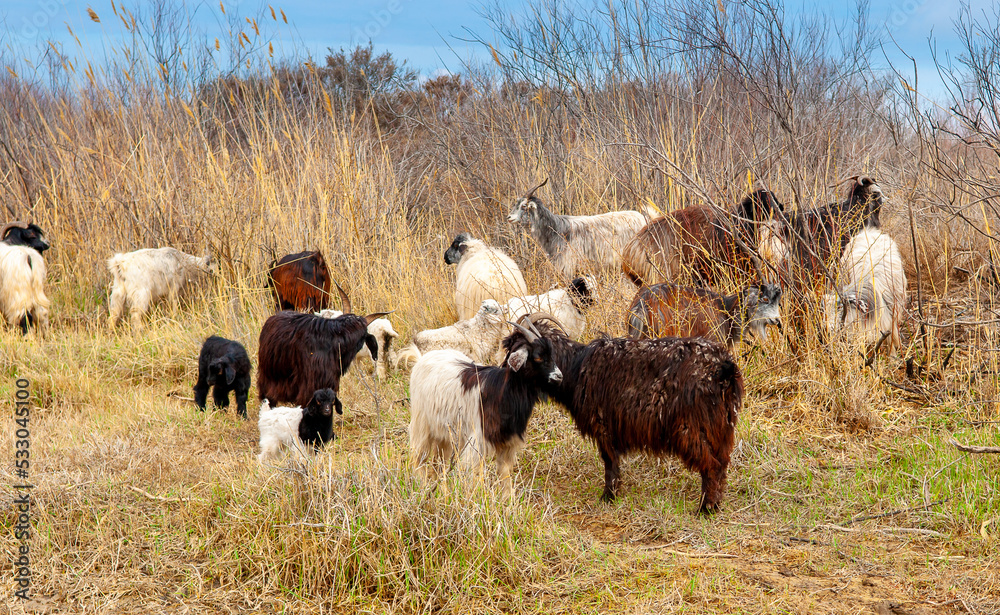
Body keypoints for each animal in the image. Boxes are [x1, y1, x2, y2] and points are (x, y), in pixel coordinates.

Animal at [408, 317, 562, 496]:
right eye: (538, 357)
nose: (559, 376)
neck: (503, 391)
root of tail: (421, 359)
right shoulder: (478, 441)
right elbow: (476, 475)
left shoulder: (507, 443)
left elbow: (505, 475)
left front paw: (508, 501)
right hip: (421, 423)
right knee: (418, 456)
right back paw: (422, 487)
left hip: (443, 433)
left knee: (438, 463)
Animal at [526, 315, 744, 513]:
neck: (576, 368)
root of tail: (724, 367)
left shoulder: (603, 425)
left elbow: (610, 462)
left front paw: (608, 497)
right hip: (722, 428)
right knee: (722, 464)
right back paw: (715, 504)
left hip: (691, 428)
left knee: (711, 466)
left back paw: (705, 509)